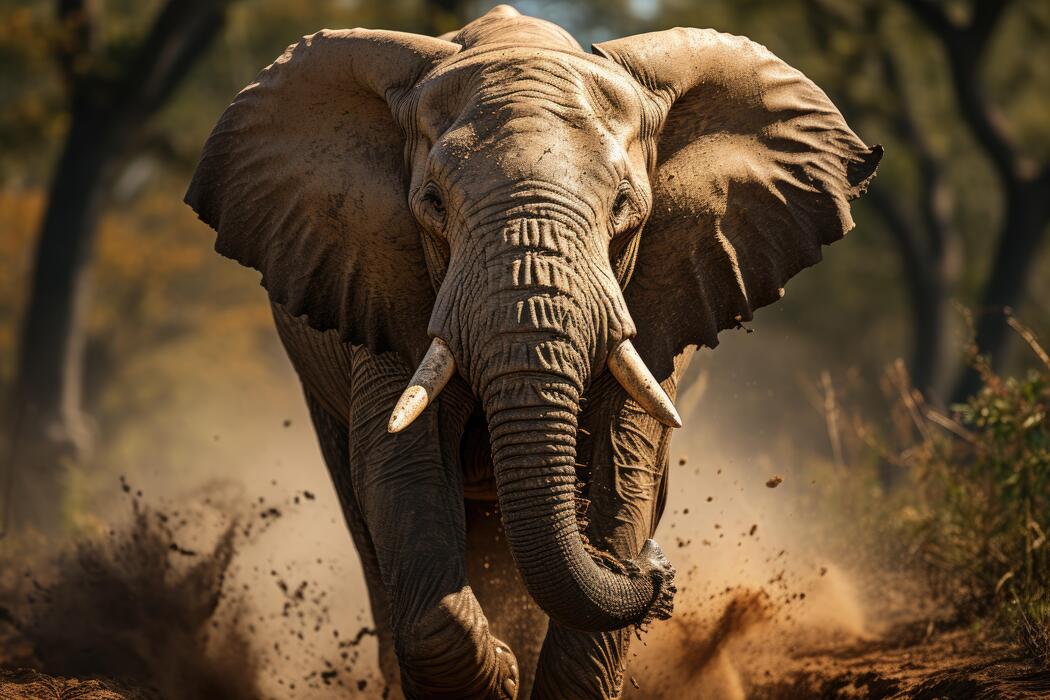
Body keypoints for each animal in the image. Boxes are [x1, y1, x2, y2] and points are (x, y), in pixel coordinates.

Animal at [185, 6, 880, 698]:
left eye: (626, 209)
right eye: (432, 204)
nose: (656, 569)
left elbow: (625, 471)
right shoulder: (385, 282)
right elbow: (401, 473)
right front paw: (503, 670)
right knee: (365, 513)